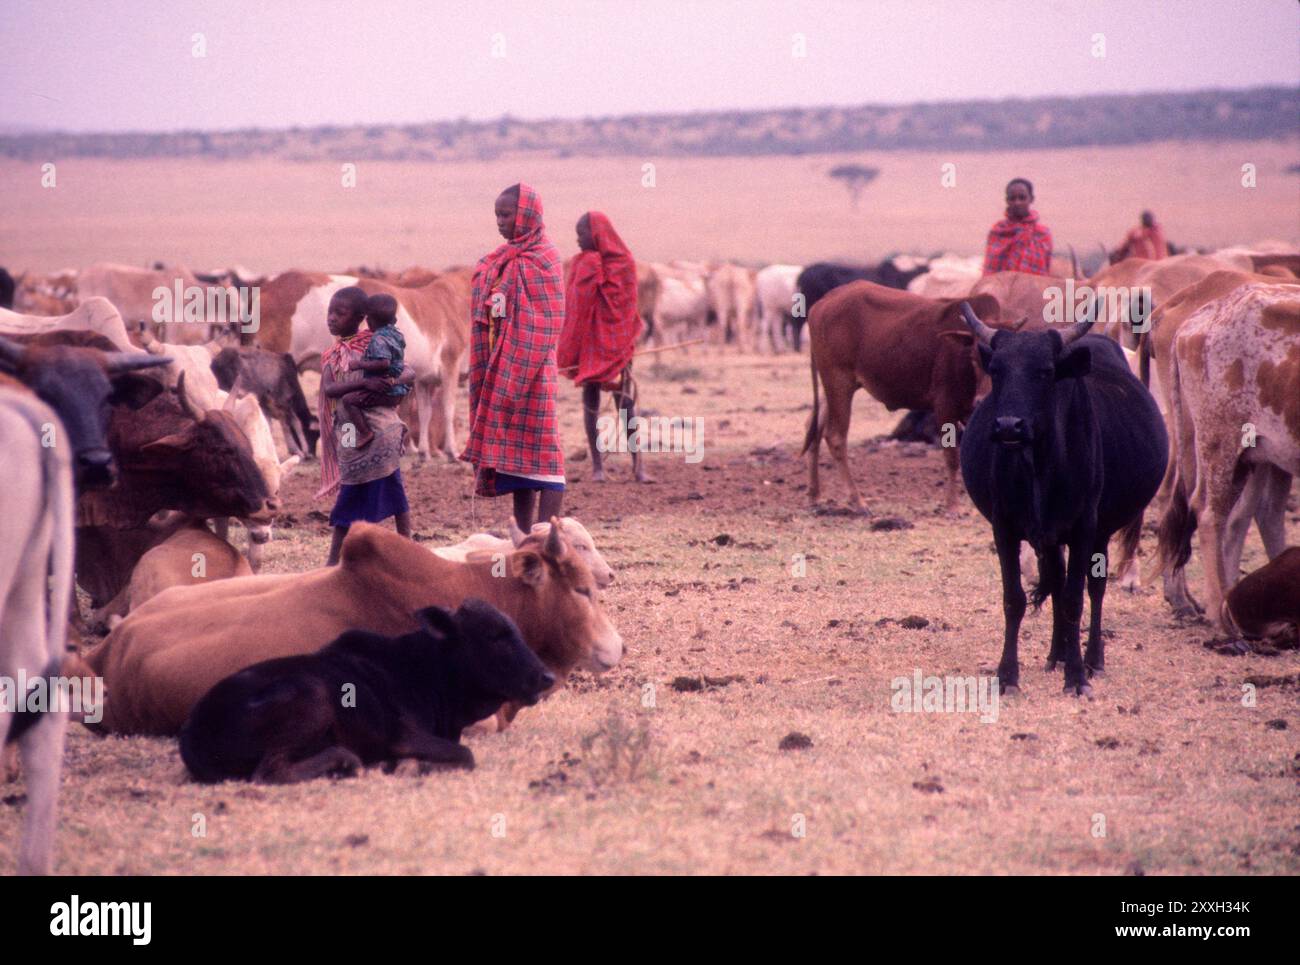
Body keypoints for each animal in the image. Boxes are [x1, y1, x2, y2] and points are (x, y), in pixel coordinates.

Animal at [179, 600, 554, 784]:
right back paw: (347, 760)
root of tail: (192, 735)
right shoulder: (404, 736)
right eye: (496, 636)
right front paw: (408, 767)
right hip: (312, 693)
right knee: (269, 773)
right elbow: (466, 755)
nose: (547, 677)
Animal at [802, 283, 1002, 512]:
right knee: (835, 436)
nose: (981, 399)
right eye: (974, 359)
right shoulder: (945, 406)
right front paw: (952, 505)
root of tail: (823, 302)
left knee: (813, 428)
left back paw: (814, 495)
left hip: (831, 390)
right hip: (839, 383)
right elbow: (952, 457)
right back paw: (858, 501)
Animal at [957, 303, 1168, 696]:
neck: (1038, 467)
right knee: (1055, 580)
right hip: (1053, 538)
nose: (1008, 426)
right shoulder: (1004, 528)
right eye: (996, 370)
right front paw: (1007, 676)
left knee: (1095, 589)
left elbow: (1074, 599)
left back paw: (1092, 659)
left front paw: (1076, 676)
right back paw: (1055, 654)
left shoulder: (1085, 528)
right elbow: (1015, 599)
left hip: (1100, 532)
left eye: (1045, 371)